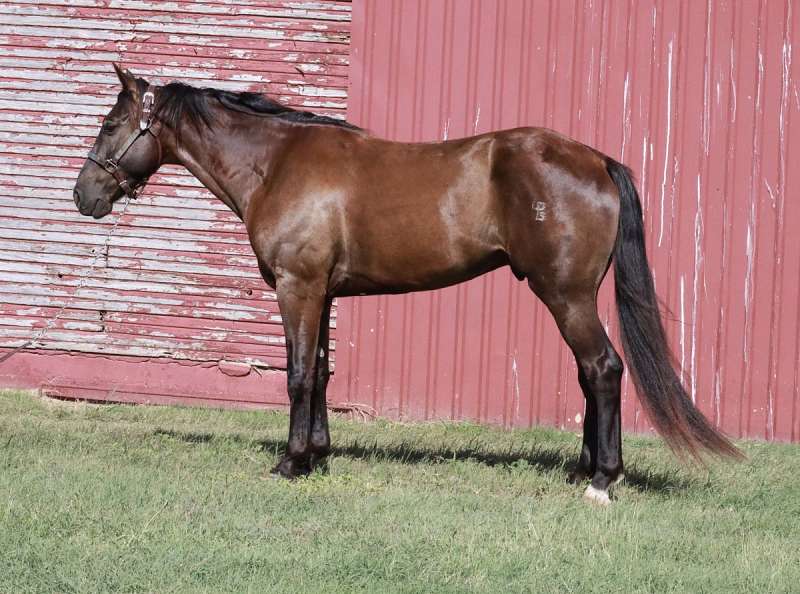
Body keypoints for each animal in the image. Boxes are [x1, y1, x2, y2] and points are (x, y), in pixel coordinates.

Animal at [73, 64, 742, 505]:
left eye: (109, 123)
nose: (84, 197)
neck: (278, 164)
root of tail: (596, 159)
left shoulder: (298, 288)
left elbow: (297, 376)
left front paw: (290, 463)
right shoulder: (325, 293)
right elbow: (321, 374)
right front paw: (318, 457)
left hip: (566, 295)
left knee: (602, 369)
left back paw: (602, 481)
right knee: (589, 374)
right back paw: (582, 472)